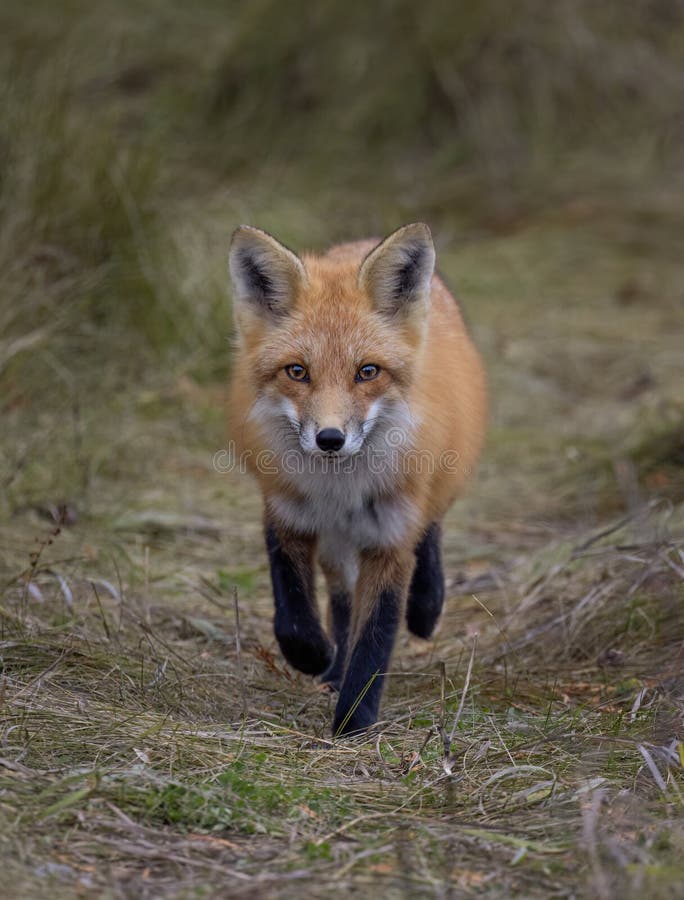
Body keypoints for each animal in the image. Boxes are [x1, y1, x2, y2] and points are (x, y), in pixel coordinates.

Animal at [228, 222, 487, 736]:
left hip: (431, 487)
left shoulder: (389, 540)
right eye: (297, 371)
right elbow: (293, 614)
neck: (339, 492)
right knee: (341, 598)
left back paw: (426, 607)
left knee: (431, 532)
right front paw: (315, 656)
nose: (330, 439)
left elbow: (375, 638)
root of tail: (360, 241)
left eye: (367, 372)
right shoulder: (285, 514)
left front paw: (353, 723)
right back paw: (332, 667)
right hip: (335, 545)